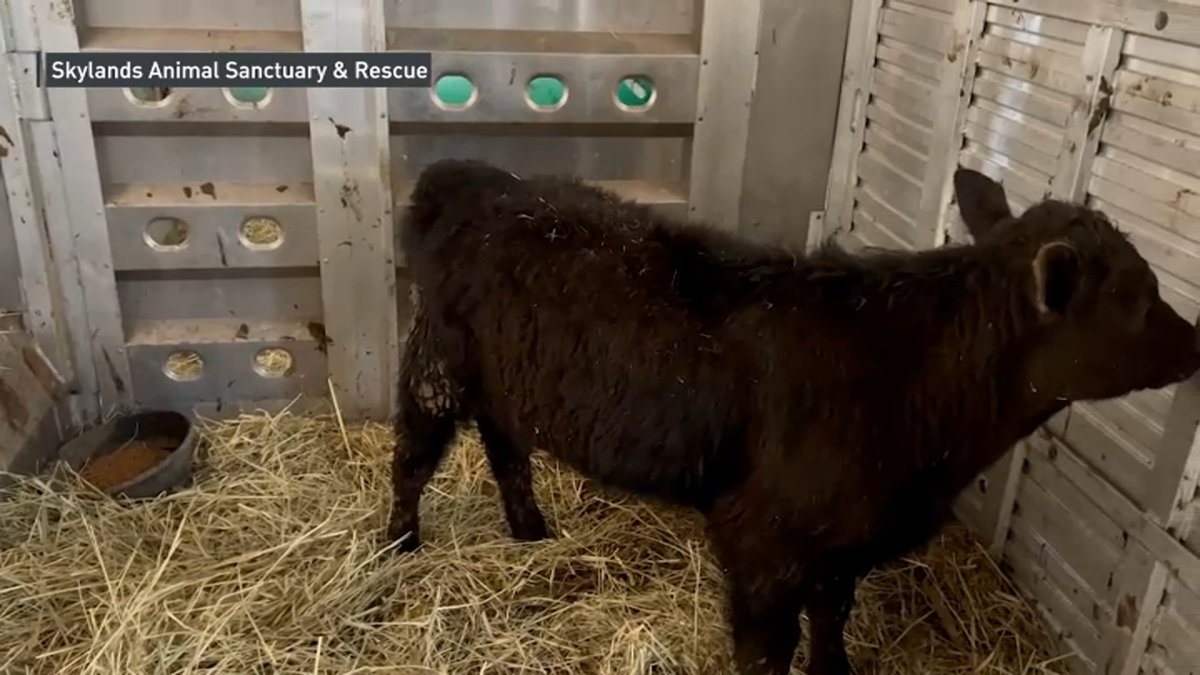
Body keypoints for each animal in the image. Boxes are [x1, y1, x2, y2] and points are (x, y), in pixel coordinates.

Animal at [385, 158, 1200, 675]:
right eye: (1136, 297)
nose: (1195, 338)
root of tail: (474, 177)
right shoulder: (762, 540)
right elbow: (768, 648)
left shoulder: (844, 543)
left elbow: (833, 615)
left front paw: (837, 671)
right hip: (437, 365)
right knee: (413, 458)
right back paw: (398, 545)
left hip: (507, 379)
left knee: (505, 445)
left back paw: (530, 531)